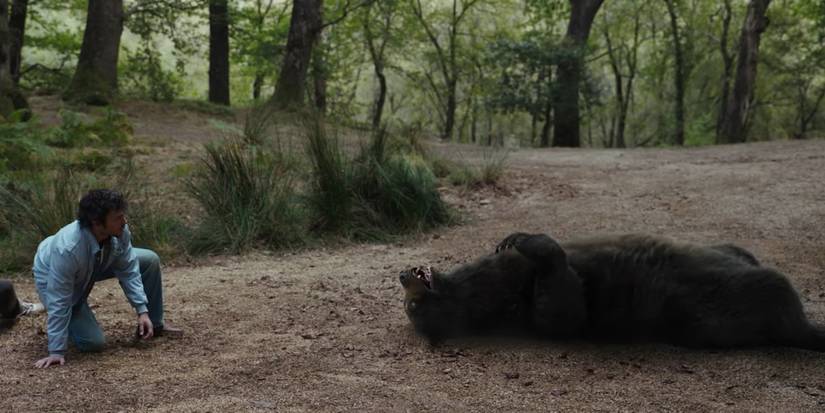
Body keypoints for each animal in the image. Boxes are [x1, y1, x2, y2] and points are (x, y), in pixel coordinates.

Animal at [399, 232, 825, 351]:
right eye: (412, 306)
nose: (402, 274)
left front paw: (513, 239)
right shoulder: (547, 310)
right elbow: (564, 300)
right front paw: (532, 242)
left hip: (728, 252)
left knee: (738, 252)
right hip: (743, 299)